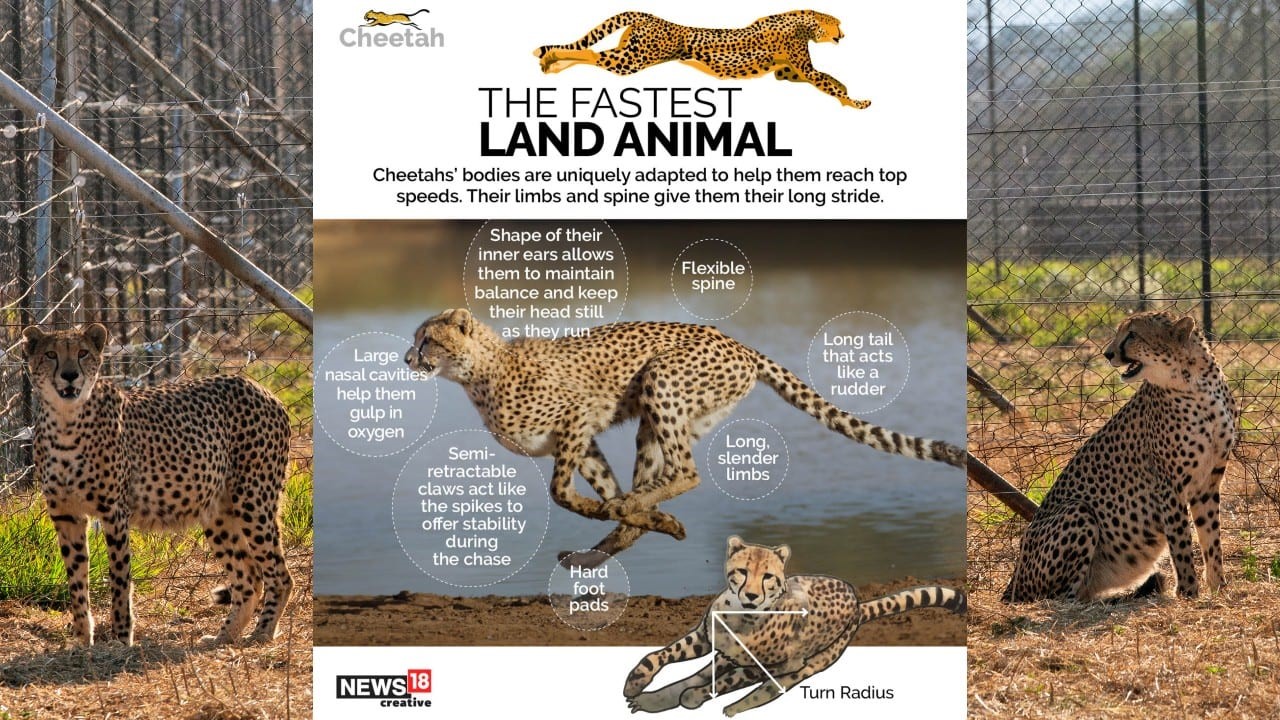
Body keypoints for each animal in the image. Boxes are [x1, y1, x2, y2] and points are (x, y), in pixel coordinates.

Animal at [22, 323, 294, 646]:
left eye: (83, 353)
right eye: (51, 354)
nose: (69, 375)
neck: (66, 421)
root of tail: (258, 387)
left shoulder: (114, 512)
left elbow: (119, 579)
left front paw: (121, 639)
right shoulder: (66, 515)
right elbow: (76, 580)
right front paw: (82, 641)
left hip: (253, 500)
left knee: (279, 575)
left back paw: (261, 633)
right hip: (218, 512)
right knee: (249, 577)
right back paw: (222, 638)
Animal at [405, 309, 963, 563]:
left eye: (428, 339)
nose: (407, 358)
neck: (477, 373)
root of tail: (734, 340)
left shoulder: (579, 416)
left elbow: (561, 491)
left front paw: (615, 512)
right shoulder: (581, 438)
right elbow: (602, 489)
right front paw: (640, 523)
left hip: (660, 380)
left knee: (687, 471)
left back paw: (634, 510)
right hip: (655, 419)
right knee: (662, 476)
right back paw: (625, 530)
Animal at [533, 11, 871, 109]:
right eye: (837, 24)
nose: (843, 34)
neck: (806, 22)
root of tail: (647, 15)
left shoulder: (785, 72)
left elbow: (829, 79)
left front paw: (848, 91)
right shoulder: (803, 68)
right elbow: (828, 83)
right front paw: (856, 102)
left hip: (630, 53)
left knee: (592, 55)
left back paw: (551, 62)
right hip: (636, 58)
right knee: (591, 52)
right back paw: (551, 58)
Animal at [622, 536, 966, 716]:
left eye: (768, 577)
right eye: (743, 571)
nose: (751, 595)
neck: (740, 616)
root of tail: (857, 601)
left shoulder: (775, 664)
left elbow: (724, 683)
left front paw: (696, 699)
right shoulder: (706, 639)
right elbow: (658, 656)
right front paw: (635, 682)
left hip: (808, 666)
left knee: (766, 689)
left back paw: (731, 707)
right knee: (699, 676)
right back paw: (649, 700)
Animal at [1002, 310, 1237, 603]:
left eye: (1132, 334)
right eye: (1120, 332)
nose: (1108, 353)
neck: (1196, 382)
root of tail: (1012, 582)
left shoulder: (1208, 482)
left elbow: (1211, 537)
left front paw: (1219, 588)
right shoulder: (1169, 485)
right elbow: (1181, 543)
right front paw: (1188, 592)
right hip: (1078, 511)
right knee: (1061, 596)